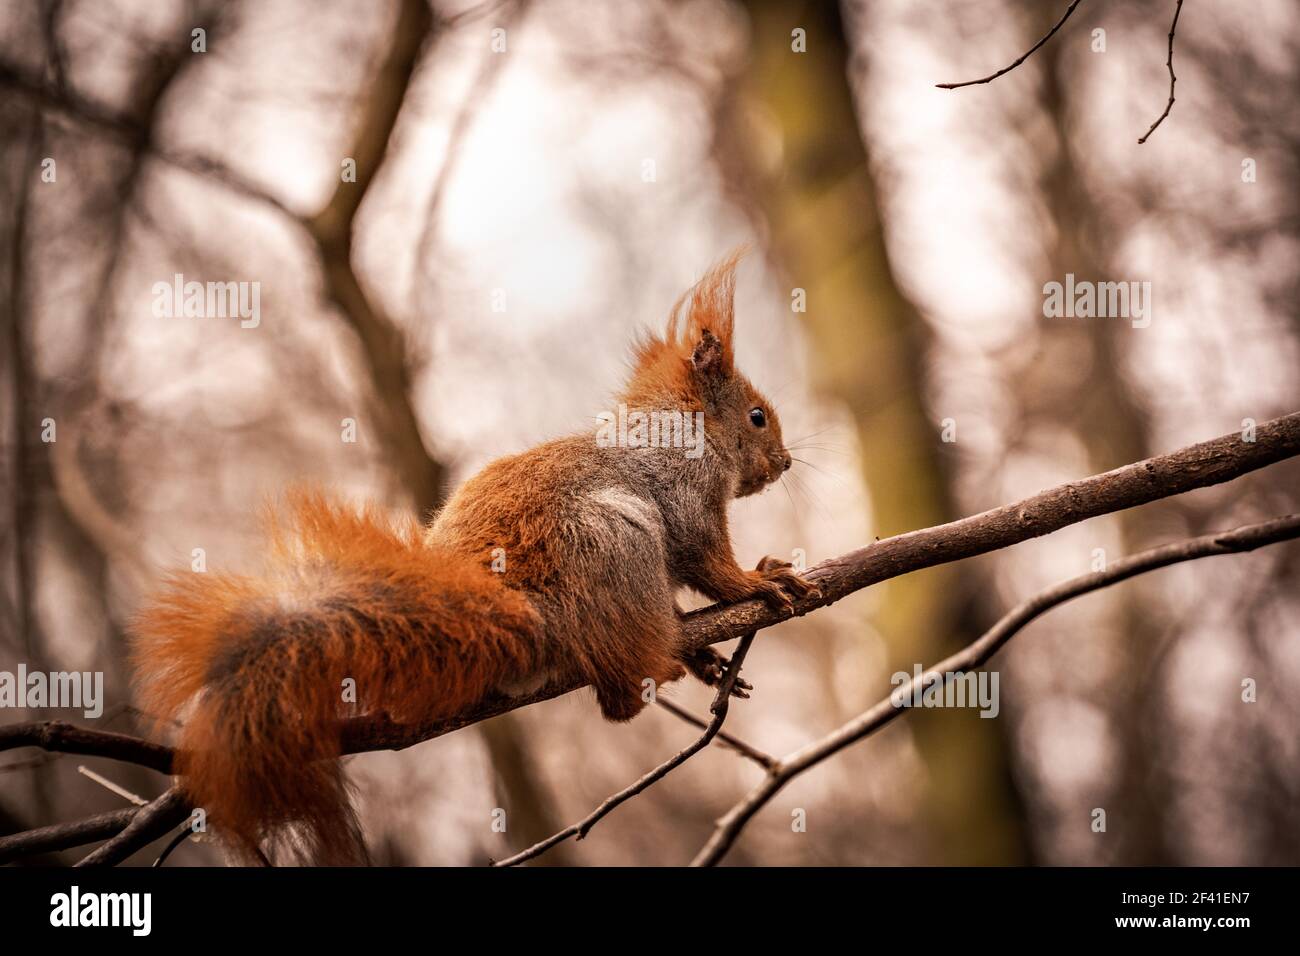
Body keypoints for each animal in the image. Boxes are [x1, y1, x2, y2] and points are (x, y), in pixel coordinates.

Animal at [131, 250, 819, 864]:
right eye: (757, 416)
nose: (786, 463)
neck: (680, 433)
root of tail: (522, 617)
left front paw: (714, 649)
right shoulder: (684, 498)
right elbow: (709, 564)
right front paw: (759, 583)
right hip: (614, 541)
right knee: (619, 691)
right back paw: (659, 666)